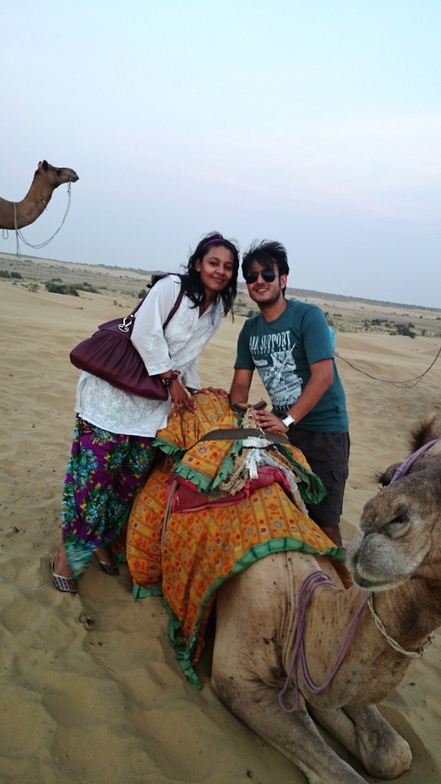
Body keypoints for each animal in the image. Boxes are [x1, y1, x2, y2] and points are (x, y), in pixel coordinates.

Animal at [210, 414, 440, 780]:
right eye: (385, 478)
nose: (380, 523)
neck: (297, 606)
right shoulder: (240, 683)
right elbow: (341, 772)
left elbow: (393, 752)